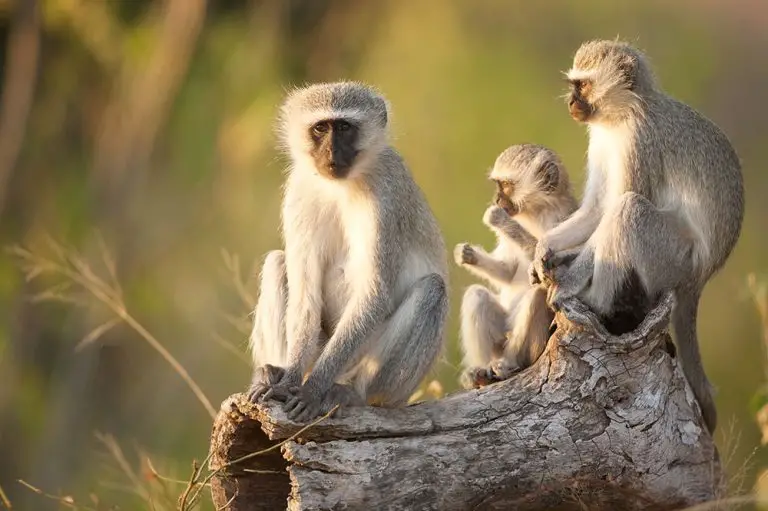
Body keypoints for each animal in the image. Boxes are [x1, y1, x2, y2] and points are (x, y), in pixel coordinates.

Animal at [246, 81, 449, 423]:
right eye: (320, 128)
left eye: (344, 128)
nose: (331, 152)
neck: (339, 187)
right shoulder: (298, 191)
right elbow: (305, 296)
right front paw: (288, 381)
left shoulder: (386, 195)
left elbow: (374, 294)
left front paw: (312, 389)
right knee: (277, 261)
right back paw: (274, 371)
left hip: (371, 368)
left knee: (432, 289)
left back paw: (353, 393)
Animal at [455, 144, 577, 389]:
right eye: (498, 184)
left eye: (506, 186)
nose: (496, 200)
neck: (535, 212)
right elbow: (508, 271)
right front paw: (467, 254)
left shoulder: (563, 219)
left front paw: (497, 218)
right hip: (500, 338)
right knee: (476, 296)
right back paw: (480, 371)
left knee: (537, 296)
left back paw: (508, 364)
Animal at [530, 40, 744, 433]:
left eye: (583, 85)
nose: (571, 102)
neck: (621, 116)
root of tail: (702, 276)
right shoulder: (601, 139)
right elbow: (598, 208)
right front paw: (545, 248)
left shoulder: (639, 141)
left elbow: (617, 206)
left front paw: (569, 283)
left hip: (674, 259)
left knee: (629, 210)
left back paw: (595, 301)